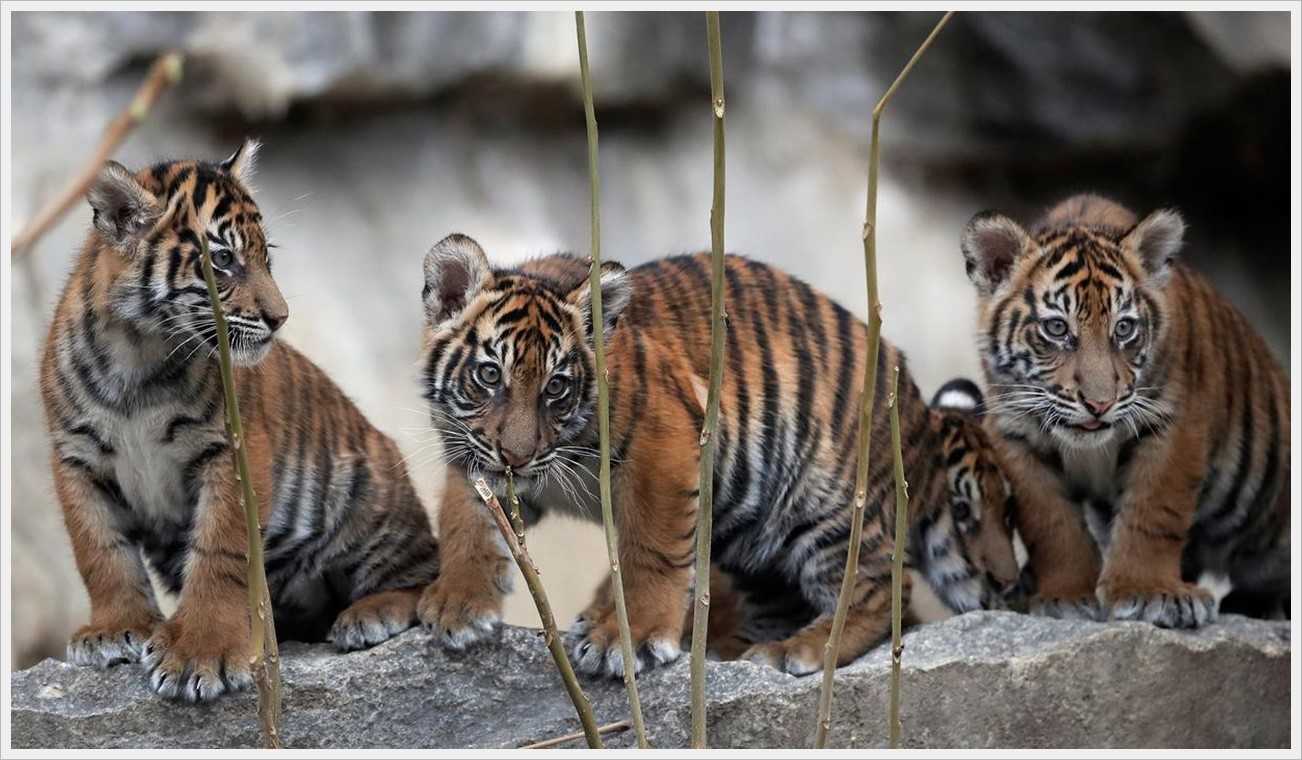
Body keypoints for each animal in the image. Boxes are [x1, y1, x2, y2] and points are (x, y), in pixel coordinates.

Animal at [39, 141, 439, 702]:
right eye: (224, 260)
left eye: (266, 257)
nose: (280, 318)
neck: (140, 352)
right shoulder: (76, 457)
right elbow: (99, 550)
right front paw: (115, 629)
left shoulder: (233, 452)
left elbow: (220, 554)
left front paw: (198, 653)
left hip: (369, 491)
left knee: (423, 573)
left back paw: (369, 616)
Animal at [414, 233, 1019, 676]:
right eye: (489, 374)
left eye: (557, 387)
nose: (516, 458)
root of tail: (917, 407)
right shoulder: (476, 457)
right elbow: (465, 520)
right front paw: (457, 605)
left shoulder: (664, 445)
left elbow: (650, 549)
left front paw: (625, 640)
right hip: (754, 539)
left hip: (829, 507)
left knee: (881, 589)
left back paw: (798, 651)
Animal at [959, 193, 1290, 627]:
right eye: (1057, 328)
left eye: (1123, 328)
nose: (1099, 404)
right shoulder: (1015, 433)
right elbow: (1049, 522)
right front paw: (1066, 594)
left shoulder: (1173, 425)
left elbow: (1154, 513)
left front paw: (1152, 592)